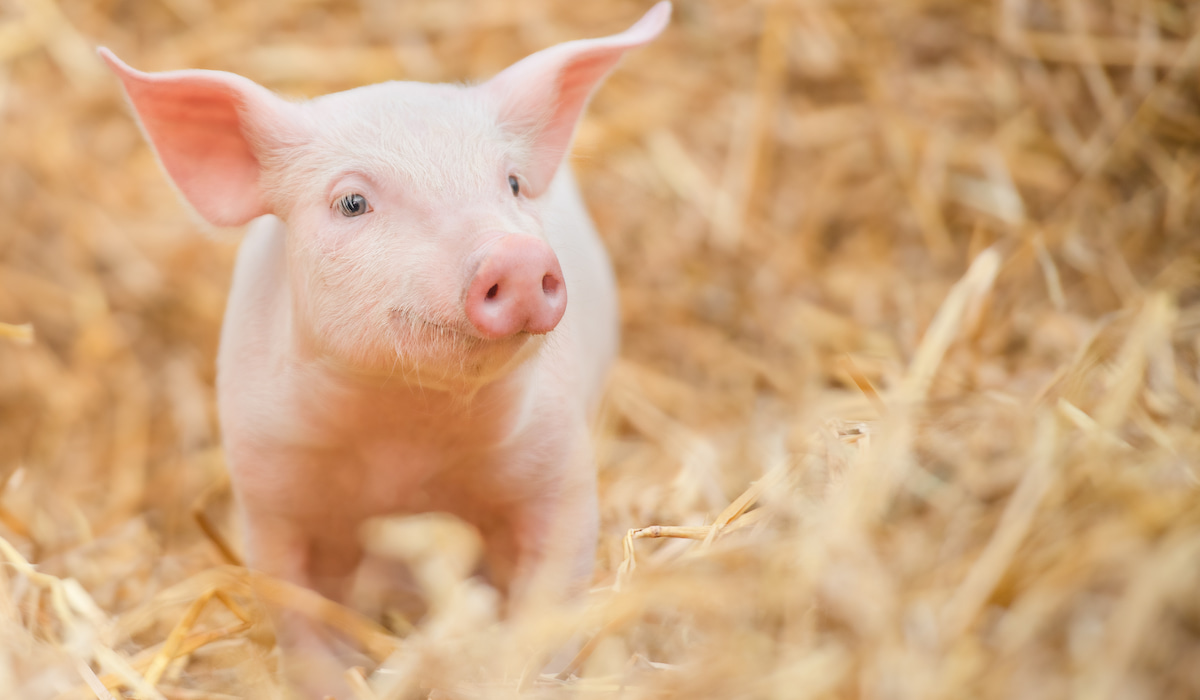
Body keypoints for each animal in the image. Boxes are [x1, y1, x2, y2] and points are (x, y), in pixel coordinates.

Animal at [100, 2, 670, 695]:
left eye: (511, 184)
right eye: (352, 202)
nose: (516, 254)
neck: (403, 435)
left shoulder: (557, 467)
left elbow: (551, 592)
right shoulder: (267, 489)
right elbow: (296, 605)